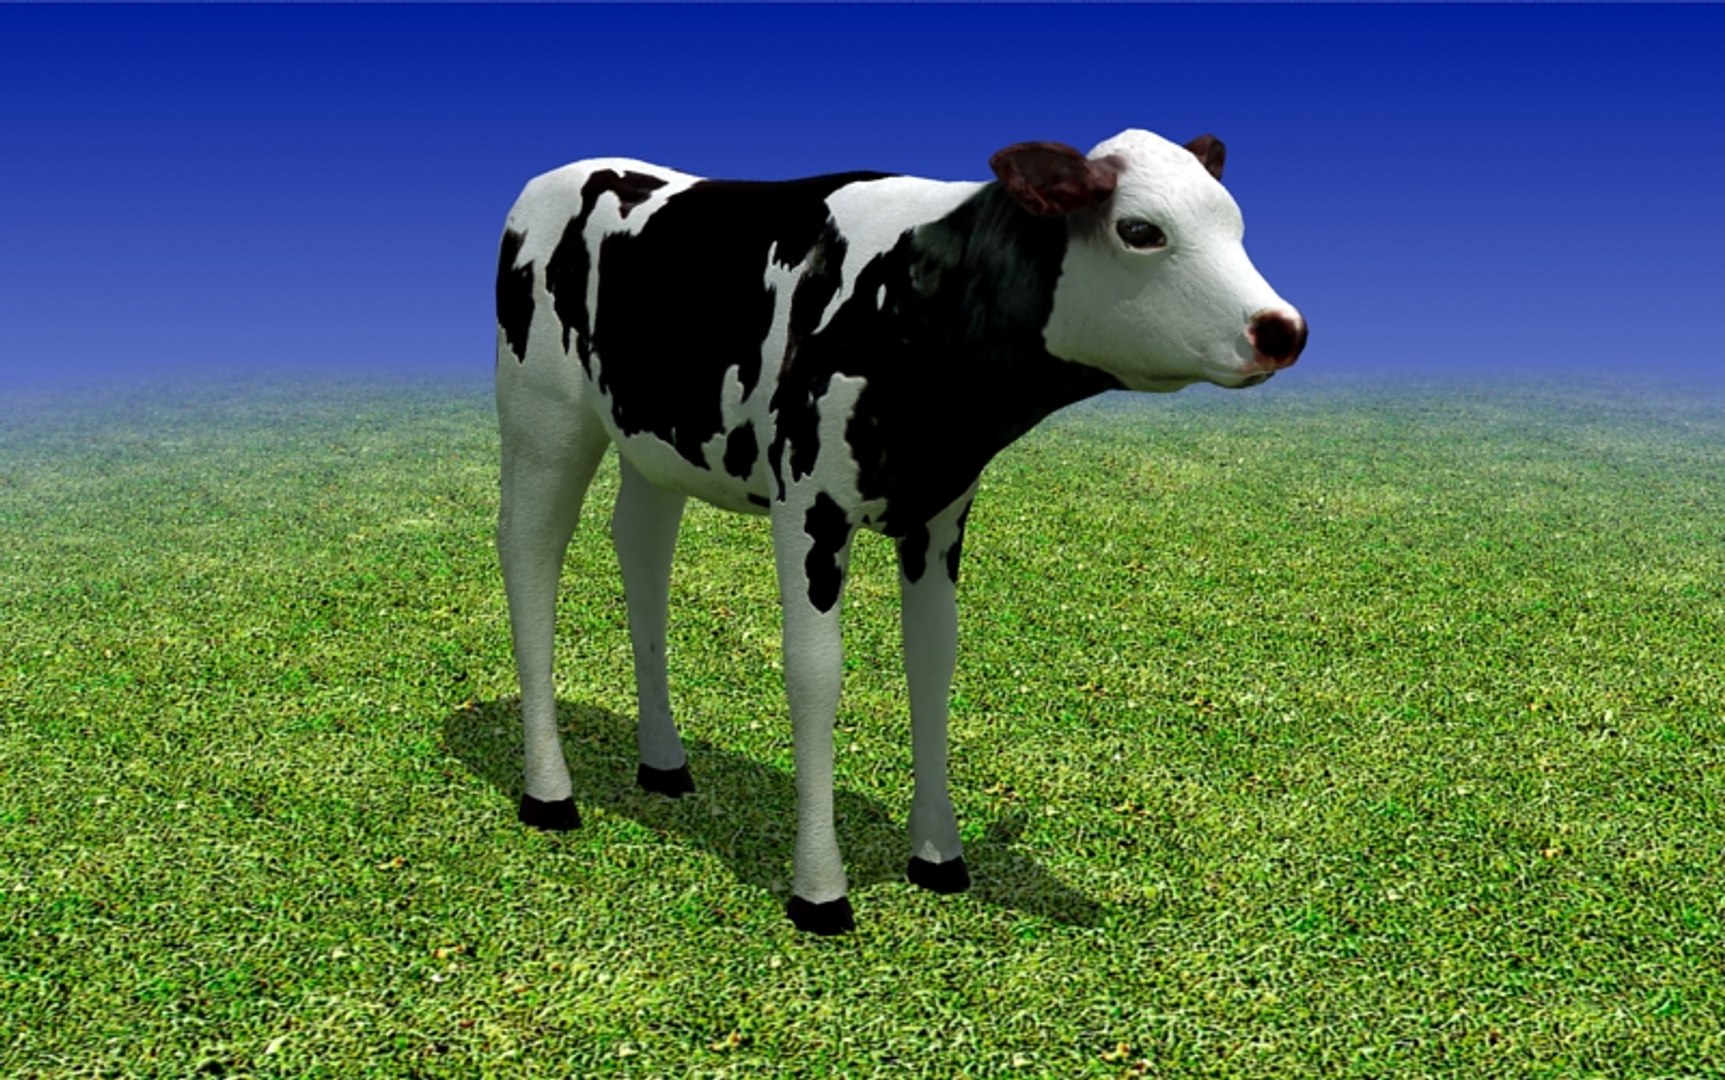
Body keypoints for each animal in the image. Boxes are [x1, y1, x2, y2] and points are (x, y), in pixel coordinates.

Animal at [493, 128, 1306, 934]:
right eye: (1140, 231)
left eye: (1235, 224)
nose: (1283, 330)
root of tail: (563, 172)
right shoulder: (809, 508)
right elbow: (816, 676)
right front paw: (820, 891)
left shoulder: (941, 514)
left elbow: (933, 662)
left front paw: (939, 857)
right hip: (544, 420)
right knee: (529, 554)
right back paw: (549, 793)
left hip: (656, 443)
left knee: (641, 549)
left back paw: (664, 763)